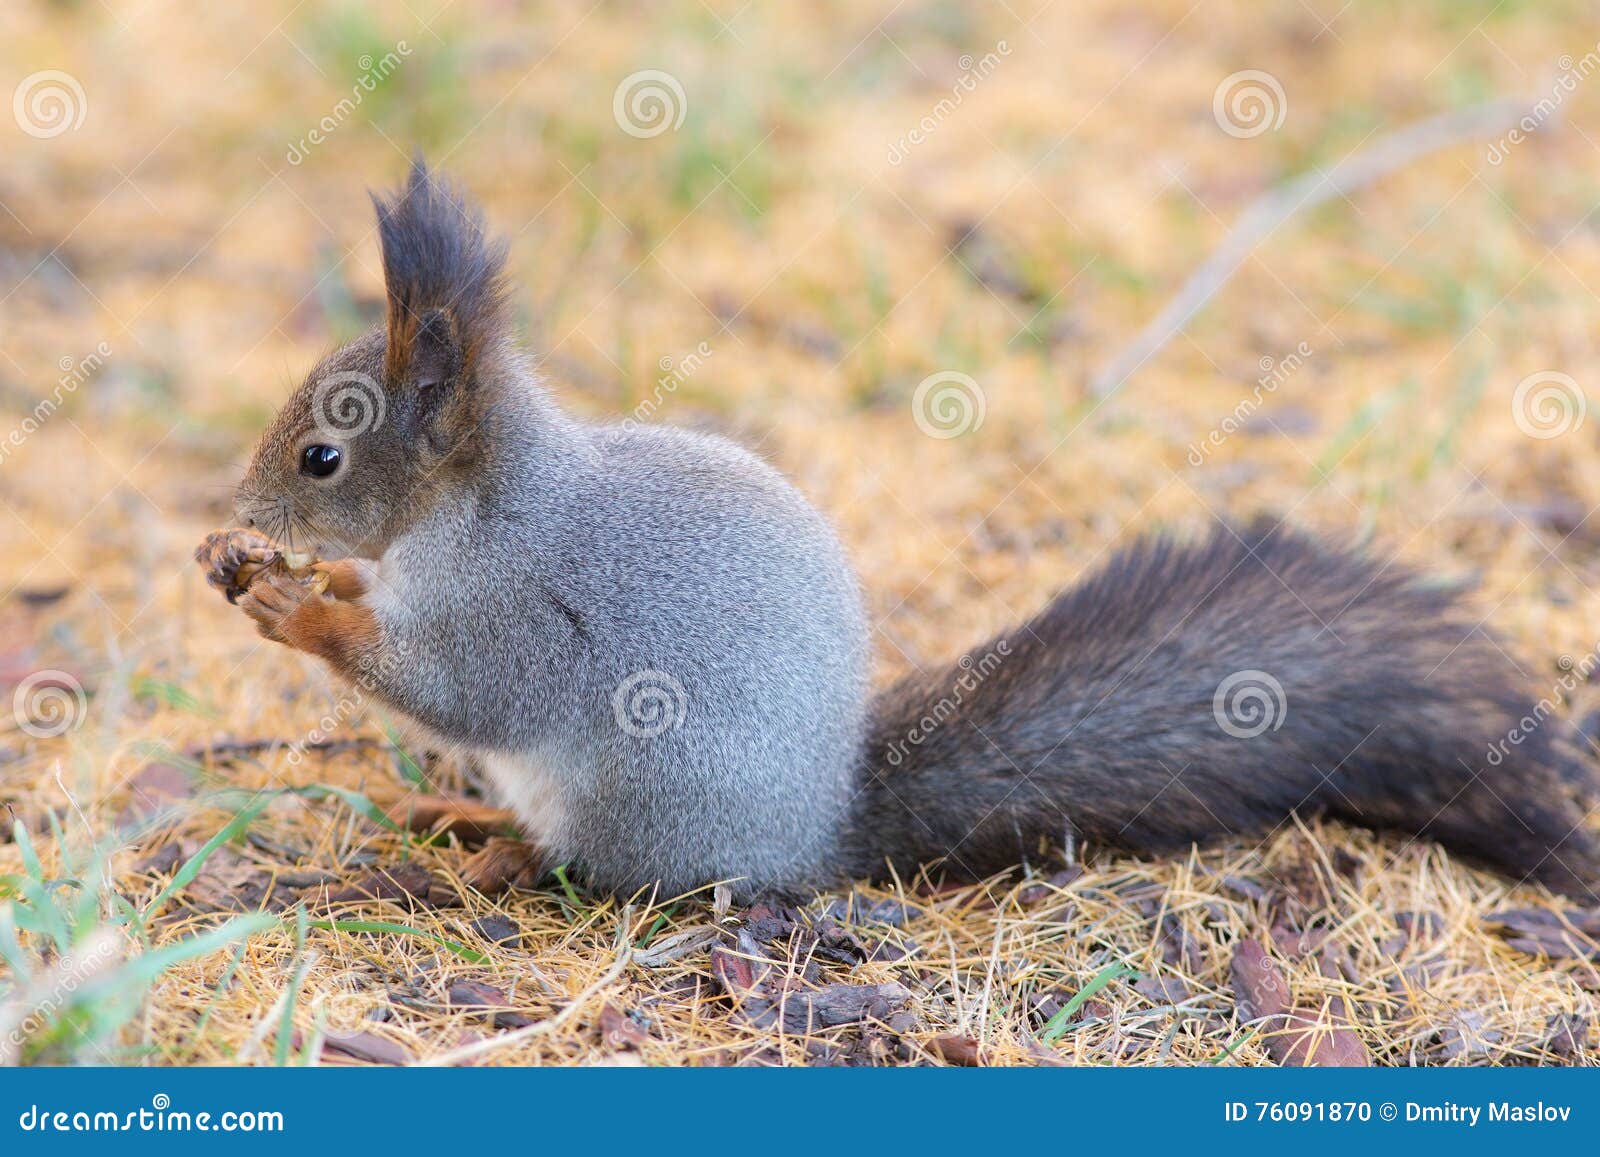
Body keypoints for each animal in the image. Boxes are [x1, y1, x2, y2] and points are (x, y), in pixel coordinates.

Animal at [196, 160, 1600, 903]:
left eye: (323, 454)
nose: (243, 515)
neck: (477, 509)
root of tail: (811, 833)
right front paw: (292, 577)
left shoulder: (525, 608)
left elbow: (463, 688)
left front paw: (299, 605)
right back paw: (461, 816)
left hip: (641, 795)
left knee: (584, 866)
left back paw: (489, 859)